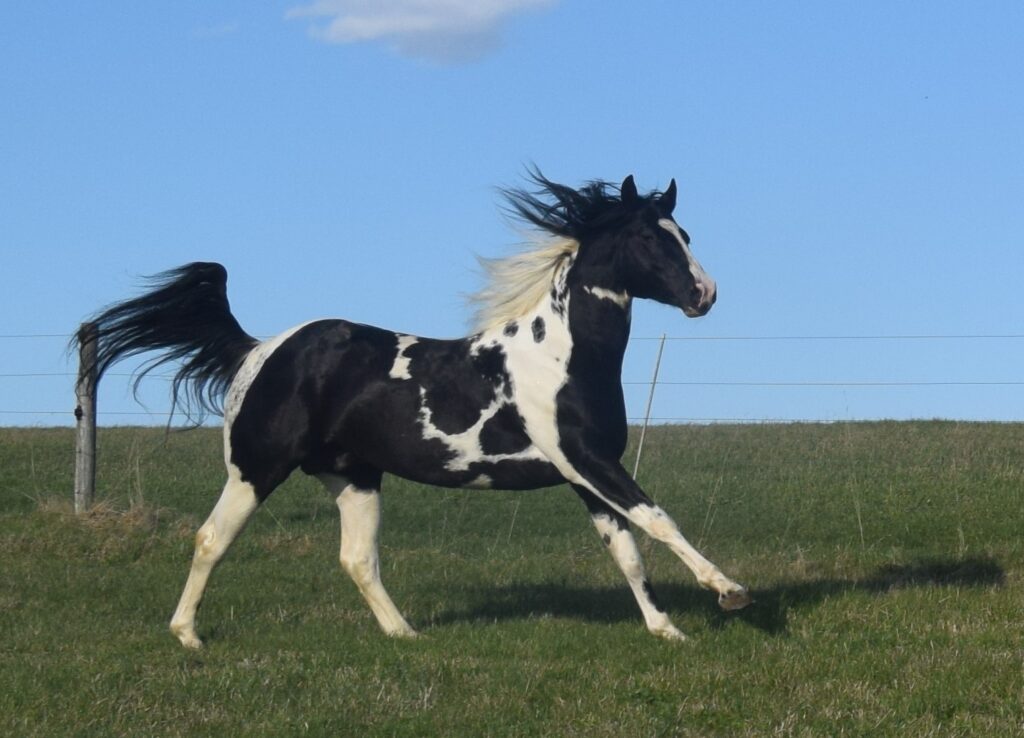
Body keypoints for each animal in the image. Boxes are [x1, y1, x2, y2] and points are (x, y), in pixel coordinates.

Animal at [82, 173, 751, 648]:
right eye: (649, 238)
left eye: (685, 236)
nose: (706, 294)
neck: (561, 357)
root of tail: (260, 349)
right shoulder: (586, 461)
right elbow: (659, 521)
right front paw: (730, 592)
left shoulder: (586, 473)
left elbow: (628, 552)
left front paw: (667, 630)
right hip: (254, 470)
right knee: (210, 539)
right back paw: (188, 636)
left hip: (353, 475)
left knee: (357, 559)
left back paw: (405, 634)